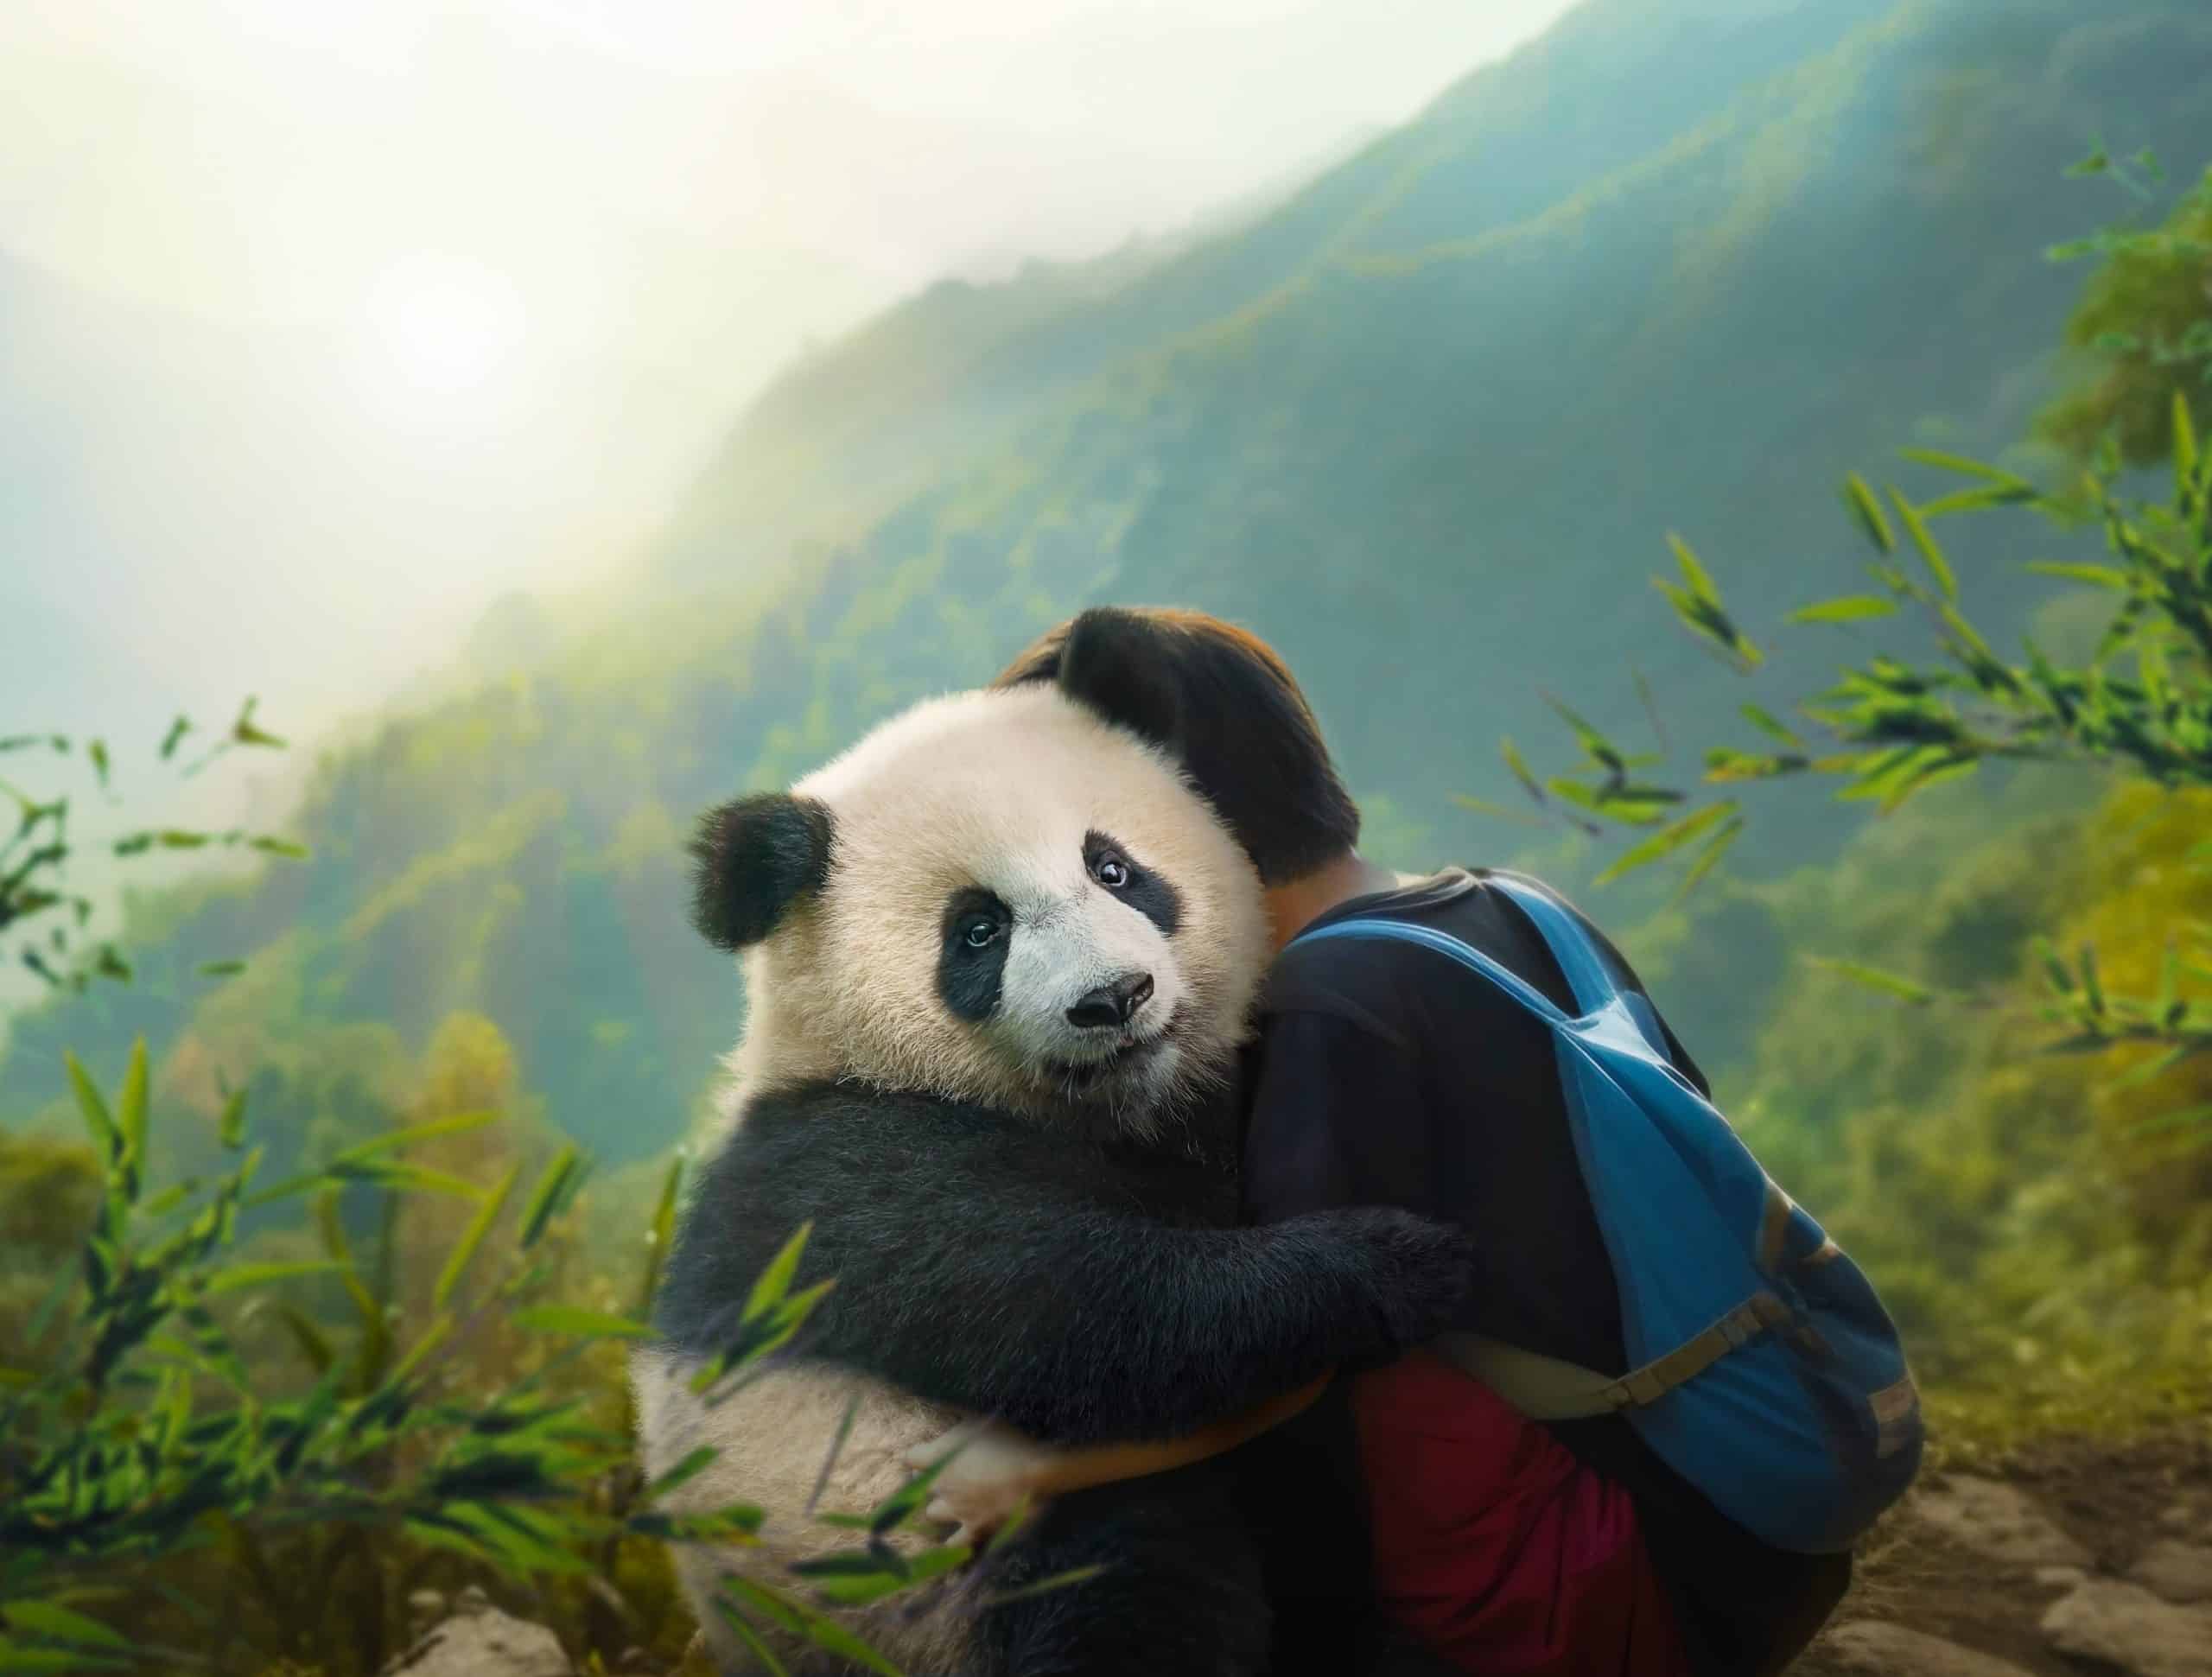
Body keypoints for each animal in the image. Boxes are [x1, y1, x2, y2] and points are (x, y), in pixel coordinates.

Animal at [630, 672, 1475, 1677]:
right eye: (978, 930)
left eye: (1112, 868)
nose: (1114, 998)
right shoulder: (839, 1171)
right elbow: (1079, 1307)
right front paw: (1397, 1262)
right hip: (911, 1568)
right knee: (1132, 1584)